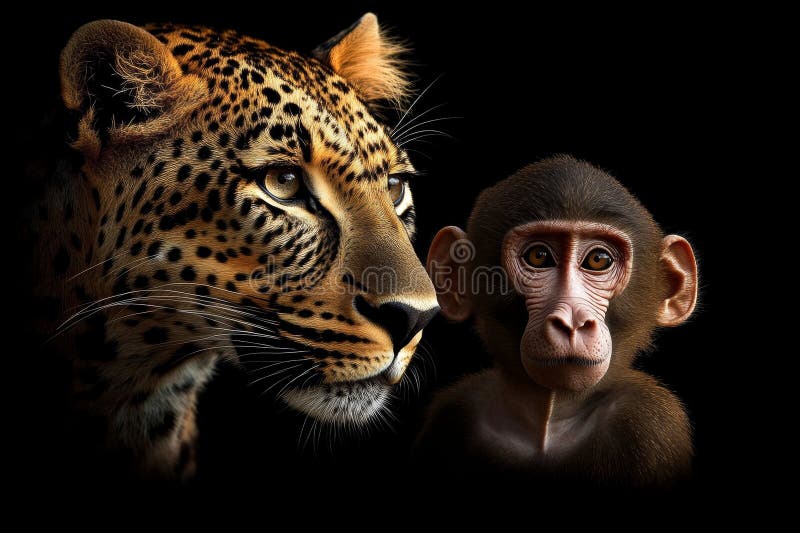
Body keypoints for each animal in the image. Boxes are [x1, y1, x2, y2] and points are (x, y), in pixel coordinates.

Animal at [413, 155, 698, 487]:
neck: (547, 425)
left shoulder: (647, 423)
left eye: (598, 260)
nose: (571, 321)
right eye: (538, 256)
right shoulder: (455, 412)